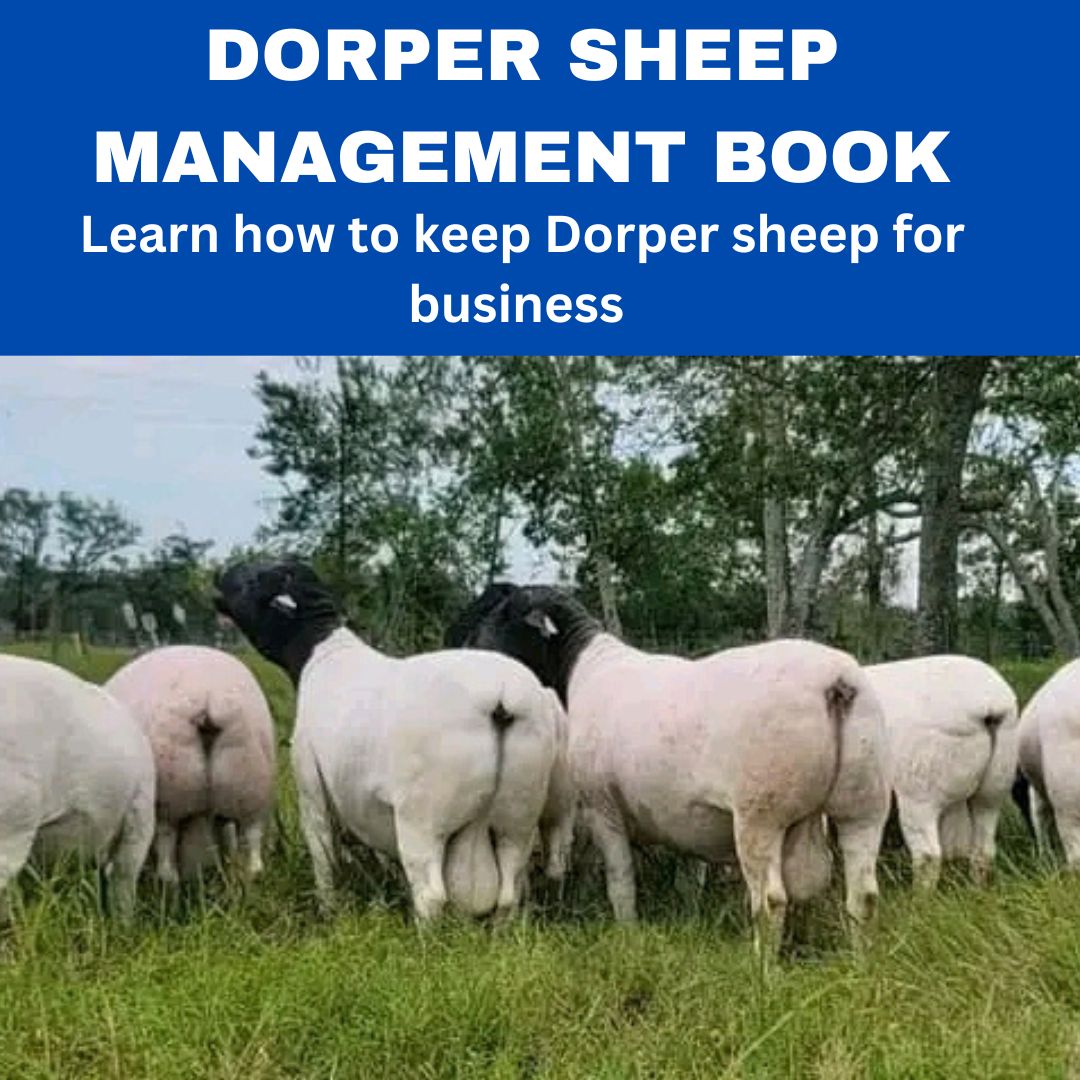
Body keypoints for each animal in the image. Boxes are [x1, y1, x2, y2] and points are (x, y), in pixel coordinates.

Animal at [214, 560, 564, 921]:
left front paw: (329, 911)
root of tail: (501, 699)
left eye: (256, 579)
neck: (322, 653)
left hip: (423, 817)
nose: (219, 575)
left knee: (431, 894)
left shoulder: (311, 789)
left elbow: (324, 858)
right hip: (518, 816)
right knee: (509, 892)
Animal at [450, 584, 891, 954]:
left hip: (761, 813)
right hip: (864, 806)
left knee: (770, 901)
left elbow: (620, 882)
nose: (469, 652)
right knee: (864, 896)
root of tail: (836, 683)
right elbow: (688, 882)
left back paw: (764, 972)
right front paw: (689, 922)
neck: (585, 670)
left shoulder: (602, 808)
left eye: (506, 614)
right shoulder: (685, 817)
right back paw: (861, 964)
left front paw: (627, 935)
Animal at [865, 655, 1019, 889]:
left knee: (928, 855)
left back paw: (920, 896)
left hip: (919, 791)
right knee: (983, 848)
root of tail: (990, 705)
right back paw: (977, 890)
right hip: (993, 788)